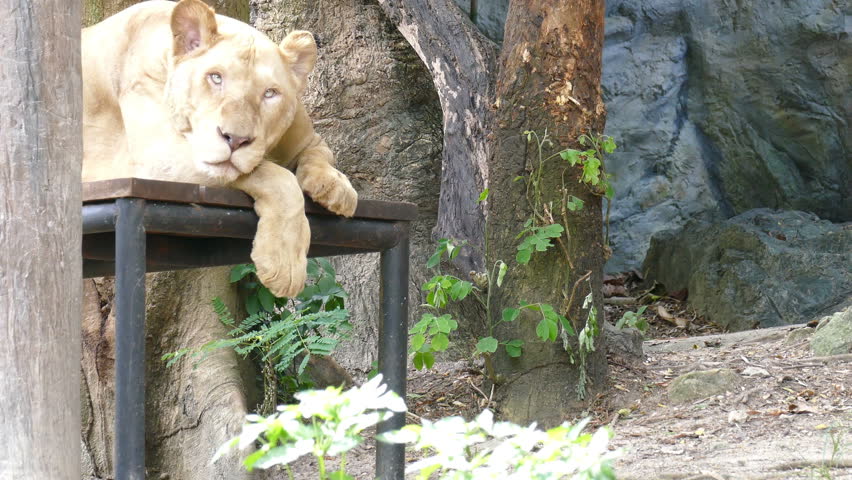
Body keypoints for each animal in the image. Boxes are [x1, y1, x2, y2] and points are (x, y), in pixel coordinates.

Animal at [82, 0, 357, 298]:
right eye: (215, 78)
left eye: (270, 93)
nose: (235, 139)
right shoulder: (153, 158)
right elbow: (279, 179)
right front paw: (285, 267)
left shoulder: (308, 139)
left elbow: (321, 154)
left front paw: (336, 188)